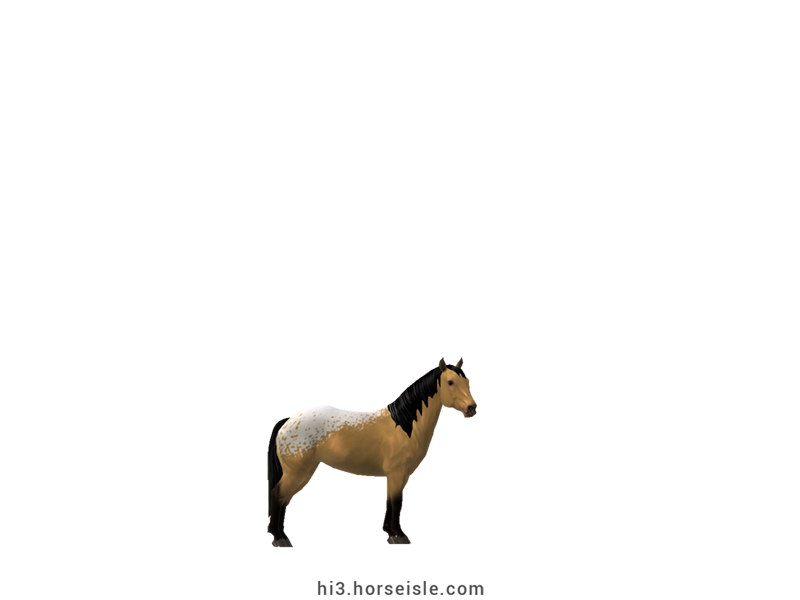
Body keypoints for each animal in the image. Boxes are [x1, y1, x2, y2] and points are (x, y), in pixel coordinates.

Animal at [268, 357, 476, 539]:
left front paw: (389, 530)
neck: (405, 425)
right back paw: (277, 536)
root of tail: (286, 424)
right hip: (296, 473)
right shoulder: (396, 472)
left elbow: (391, 500)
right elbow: (397, 501)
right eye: (450, 382)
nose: (471, 408)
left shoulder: (397, 474)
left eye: (465, 380)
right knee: (277, 494)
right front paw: (398, 532)